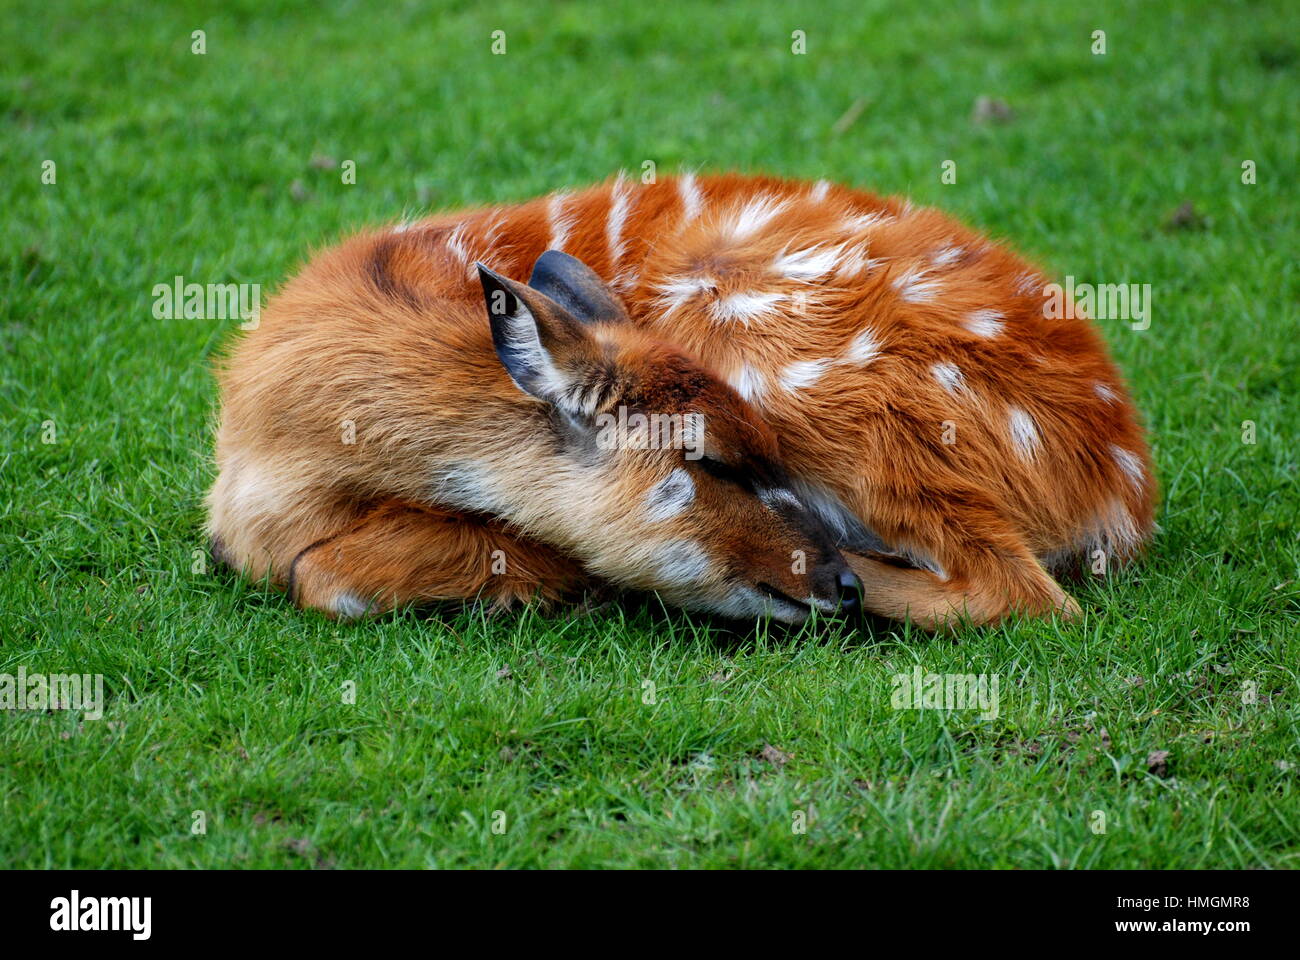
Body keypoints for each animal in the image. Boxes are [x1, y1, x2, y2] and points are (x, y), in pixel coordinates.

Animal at [206, 172, 1156, 629]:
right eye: (714, 462)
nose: (838, 582)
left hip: (784, 344)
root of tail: (1120, 488)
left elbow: (324, 573)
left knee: (1024, 591)